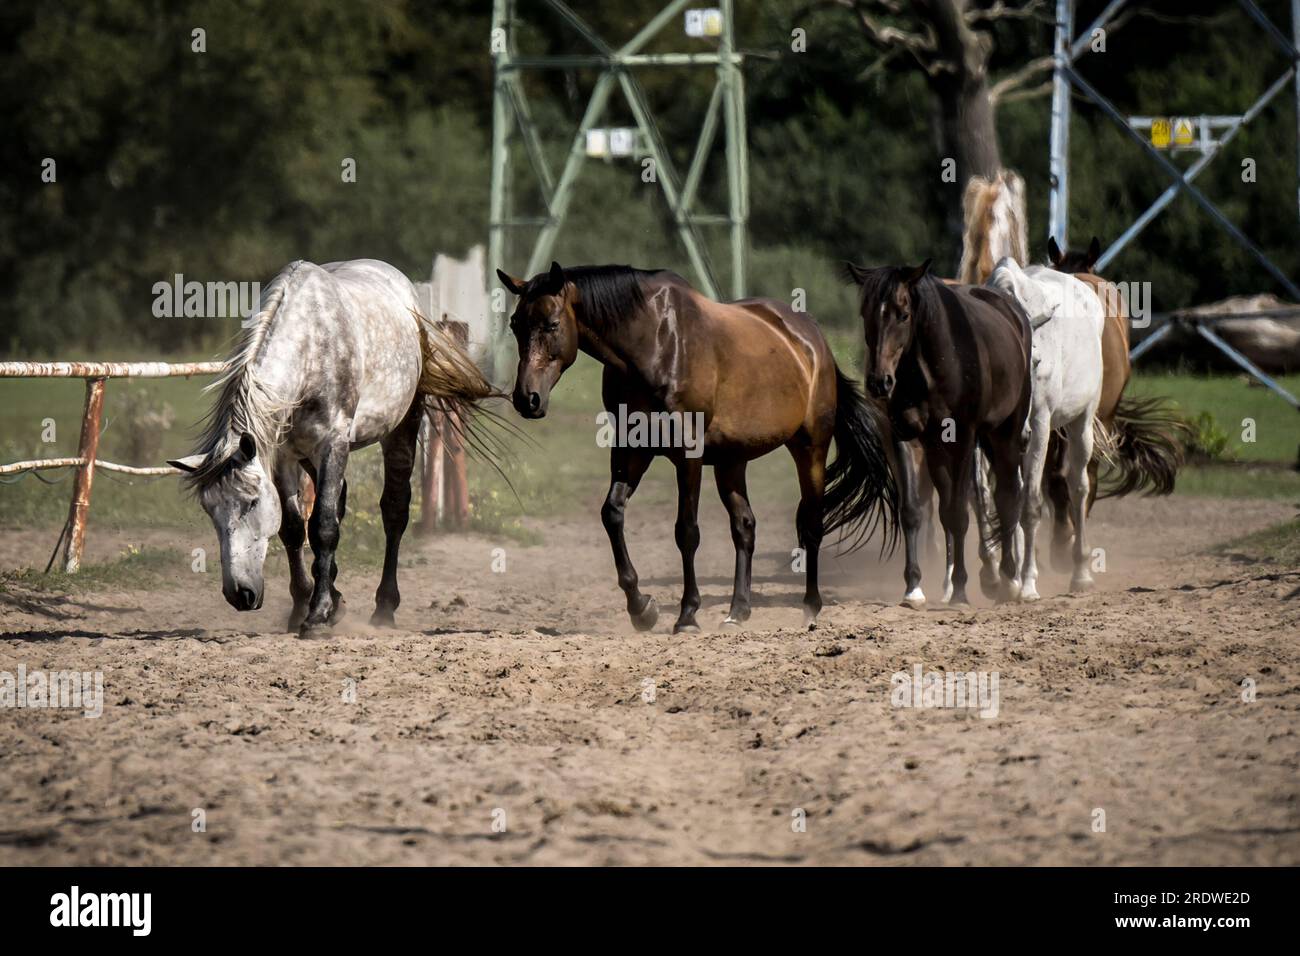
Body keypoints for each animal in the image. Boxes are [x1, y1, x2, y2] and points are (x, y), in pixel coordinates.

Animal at [168, 258, 494, 638]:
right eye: (209, 510)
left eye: (251, 503)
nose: (240, 595)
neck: (311, 346)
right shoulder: (283, 456)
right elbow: (294, 528)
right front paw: (303, 606)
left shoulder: (333, 444)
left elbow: (323, 526)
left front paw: (317, 614)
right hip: (312, 457)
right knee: (338, 503)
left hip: (398, 430)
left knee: (393, 511)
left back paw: (383, 607)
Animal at [496, 261, 899, 632]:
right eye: (515, 324)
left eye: (551, 324)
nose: (526, 399)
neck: (654, 344)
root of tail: (813, 341)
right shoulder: (631, 449)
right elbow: (612, 514)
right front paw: (641, 608)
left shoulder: (687, 454)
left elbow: (686, 531)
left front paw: (687, 614)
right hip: (732, 461)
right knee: (745, 526)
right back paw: (738, 611)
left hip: (810, 447)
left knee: (812, 524)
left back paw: (810, 607)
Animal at [844, 259, 1032, 608]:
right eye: (865, 313)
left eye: (903, 314)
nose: (879, 382)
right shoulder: (903, 438)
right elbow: (913, 510)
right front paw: (913, 587)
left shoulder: (962, 438)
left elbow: (958, 513)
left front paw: (959, 590)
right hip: (939, 448)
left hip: (1006, 432)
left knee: (1007, 497)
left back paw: (1010, 580)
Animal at [986, 258, 1106, 600]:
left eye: (1035, 361)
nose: (1020, 432)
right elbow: (1002, 499)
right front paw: (1007, 580)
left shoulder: (1038, 426)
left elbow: (1030, 504)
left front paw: (1027, 584)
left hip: (1081, 423)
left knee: (1078, 487)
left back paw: (1080, 574)